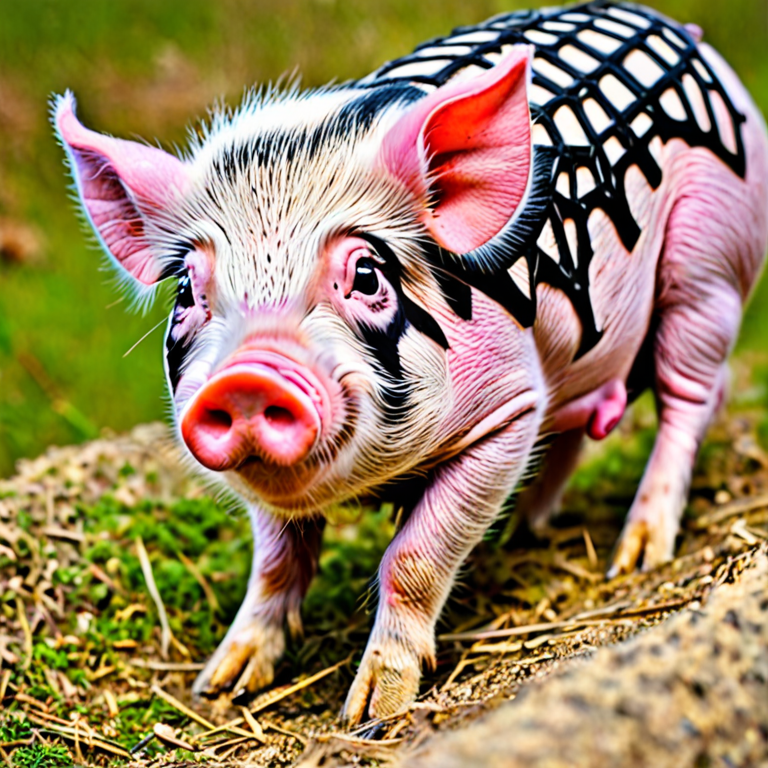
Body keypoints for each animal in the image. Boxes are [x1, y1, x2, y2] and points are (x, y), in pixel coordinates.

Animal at [55, 1, 768, 724]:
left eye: (367, 274)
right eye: (186, 292)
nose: (247, 378)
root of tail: (690, 38)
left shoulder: (504, 412)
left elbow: (414, 556)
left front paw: (373, 712)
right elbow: (275, 561)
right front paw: (221, 683)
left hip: (709, 263)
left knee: (692, 396)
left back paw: (635, 556)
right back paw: (527, 531)